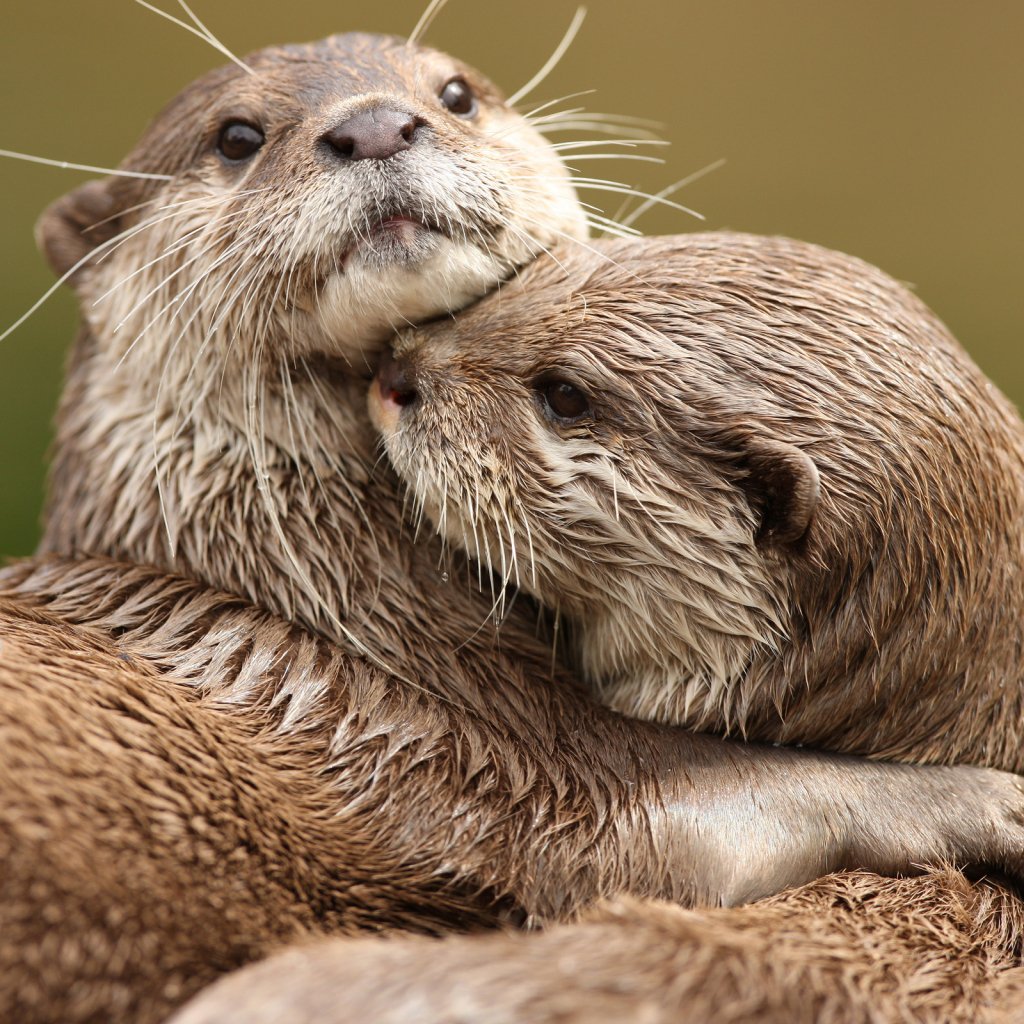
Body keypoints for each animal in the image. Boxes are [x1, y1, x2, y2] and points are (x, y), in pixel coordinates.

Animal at [4, 29, 1024, 1024]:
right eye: (236, 137)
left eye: (454, 92)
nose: (375, 124)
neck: (286, 556)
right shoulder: (463, 749)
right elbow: (711, 801)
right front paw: (977, 799)